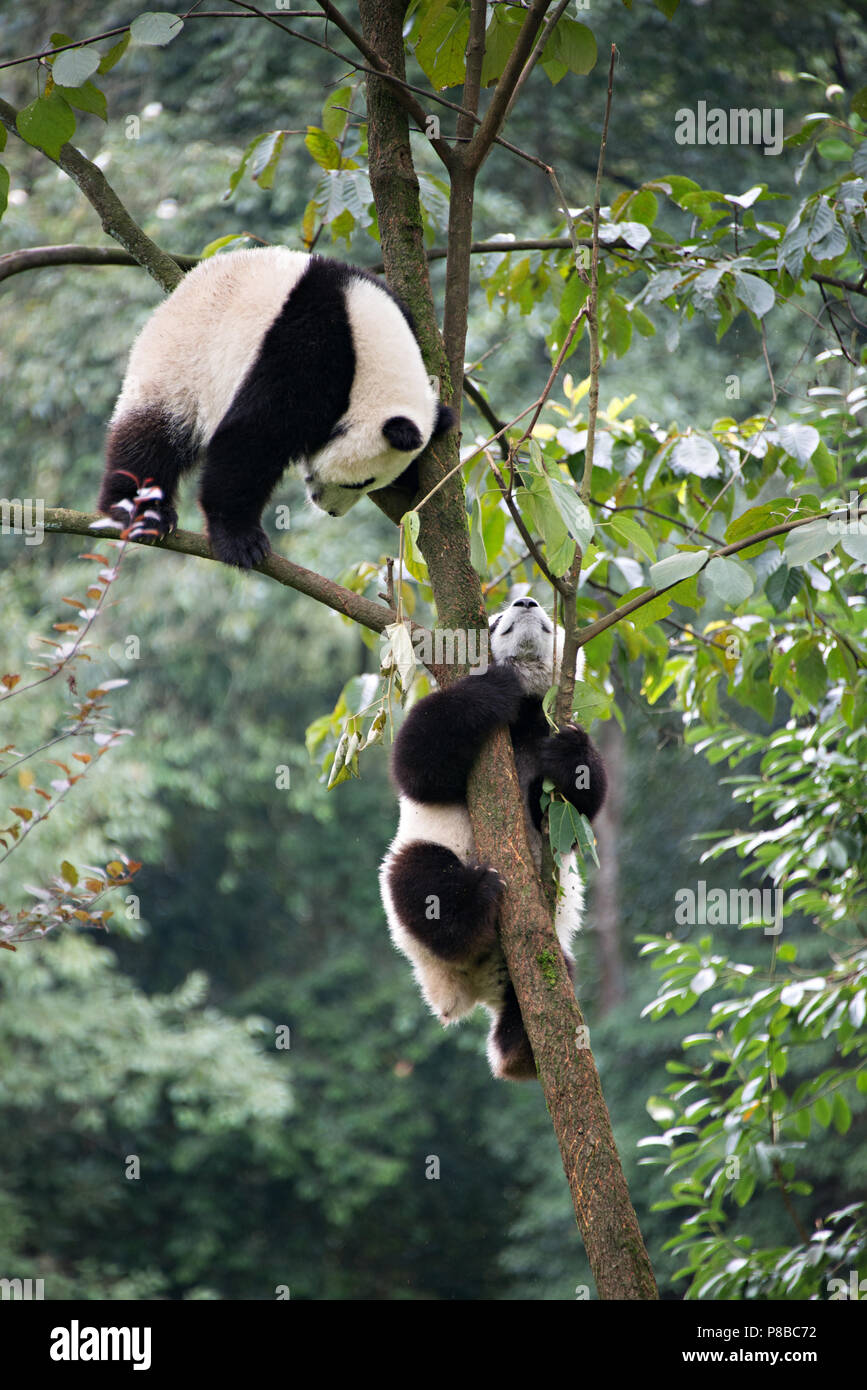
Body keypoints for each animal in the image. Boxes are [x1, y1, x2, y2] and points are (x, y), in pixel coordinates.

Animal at [99, 247, 455, 568]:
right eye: (360, 483)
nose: (331, 511)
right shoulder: (308, 351)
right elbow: (253, 437)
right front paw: (241, 541)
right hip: (179, 365)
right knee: (151, 440)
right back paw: (139, 512)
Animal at [379, 596, 607, 1081]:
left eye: (546, 618)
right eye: (498, 619)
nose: (525, 601)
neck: (522, 719)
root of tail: (461, 990)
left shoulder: (545, 732)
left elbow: (581, 812)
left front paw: (571, 753)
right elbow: (417, 761)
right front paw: (491, 686)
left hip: (536, 965)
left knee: (552, 980)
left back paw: (519, 1052)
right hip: (423, 875)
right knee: (419, 881)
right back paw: (474, 900)